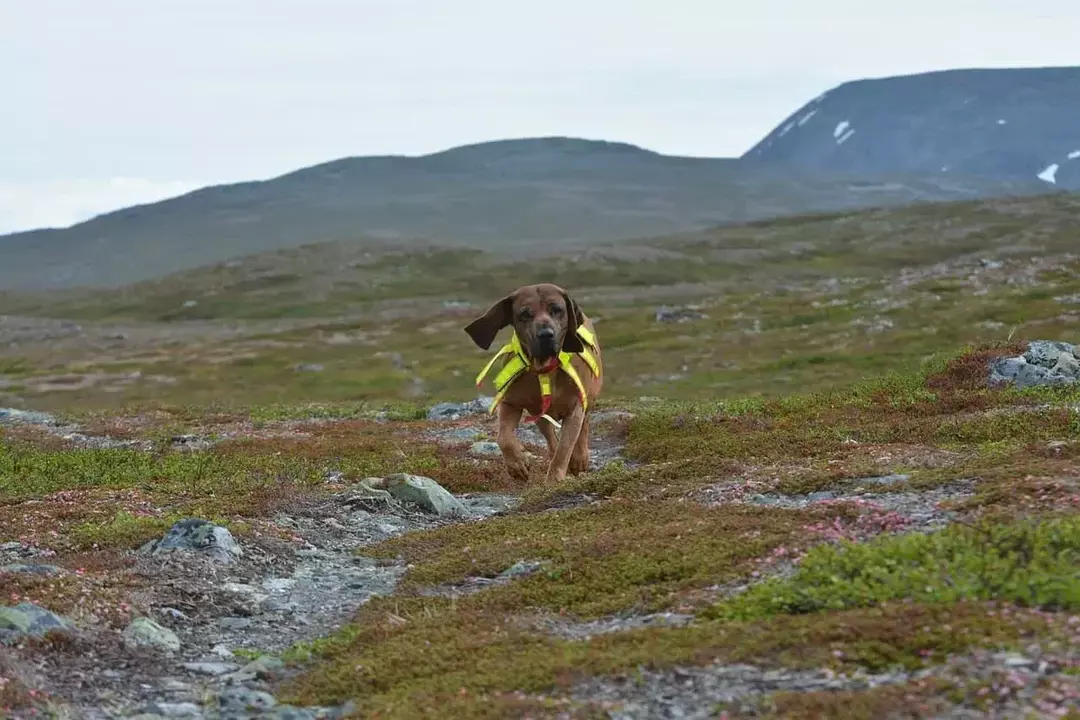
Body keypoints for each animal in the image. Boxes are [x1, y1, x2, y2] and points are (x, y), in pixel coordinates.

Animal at [462, 282, 604, 483]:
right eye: (525, 314)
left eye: (557, 310)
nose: (546, 334)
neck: (544, 369)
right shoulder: (510, 403)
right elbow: (503, 438)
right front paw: (518, 464)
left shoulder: (574, 408)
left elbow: (565, 449)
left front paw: (554, 479)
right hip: (538, 412)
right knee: (550, 436)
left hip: (589, 397)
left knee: (583, 425)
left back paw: (579, 458)